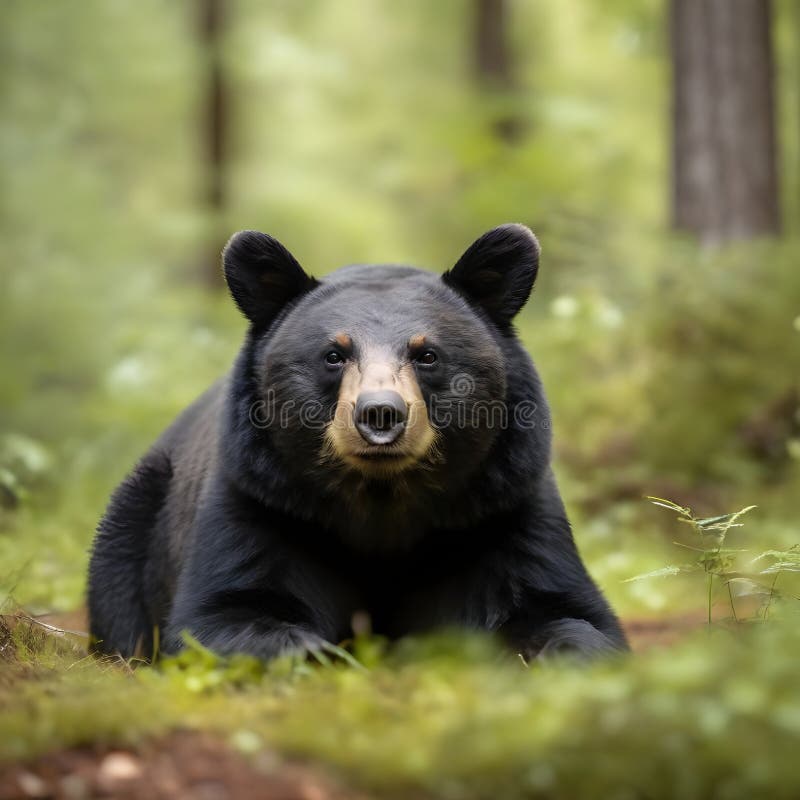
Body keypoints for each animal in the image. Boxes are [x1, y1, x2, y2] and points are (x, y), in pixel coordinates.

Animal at [88, 224, 628, 661]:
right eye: (334, 354)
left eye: (427, 354)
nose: (380, 414)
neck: (381, 500)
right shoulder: (262, 499)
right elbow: (219, 613)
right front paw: (322, 650)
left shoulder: (500, 506)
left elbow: (564, 607)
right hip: (140, 513)